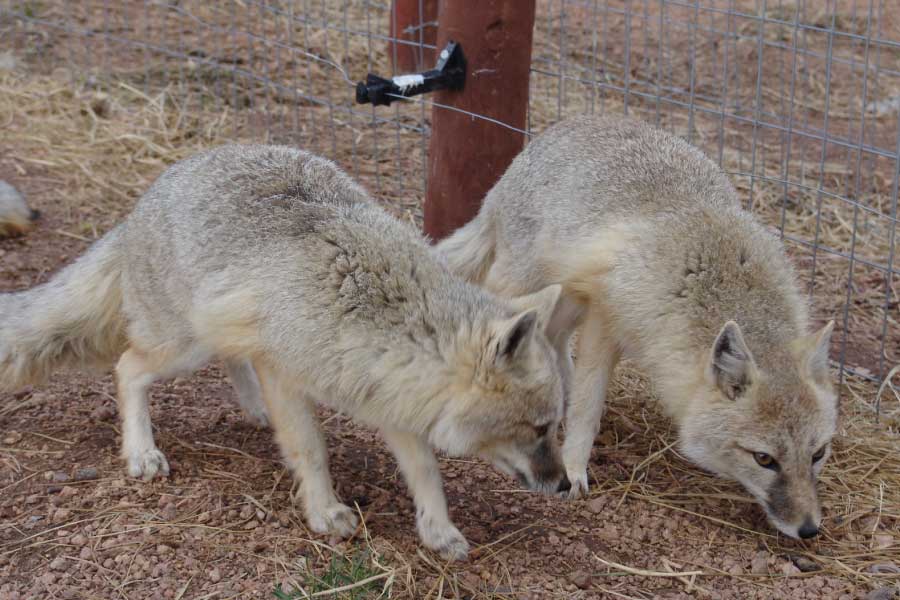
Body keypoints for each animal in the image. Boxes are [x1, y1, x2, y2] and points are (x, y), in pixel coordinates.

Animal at [0, 144, 572, 560]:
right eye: (540, 429)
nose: (567, 485)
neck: (380, 312)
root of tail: (143, 201)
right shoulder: (287, 373)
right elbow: (310, 450)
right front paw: (323, 511)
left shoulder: (388, 395)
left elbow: (426, 472)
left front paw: (438, 530)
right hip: (183, 345)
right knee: (127, 367)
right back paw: (141, 451)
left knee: (229, 357)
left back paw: (252, 410)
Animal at [436, 115, 837, 540]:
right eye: (764, 459)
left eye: (818, 453)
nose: (809, 529)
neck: (718, 275)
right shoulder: (606, 318)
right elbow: (587, 406)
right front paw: (574, 469)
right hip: (526, 284)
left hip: (567, 297)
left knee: (553, 338)